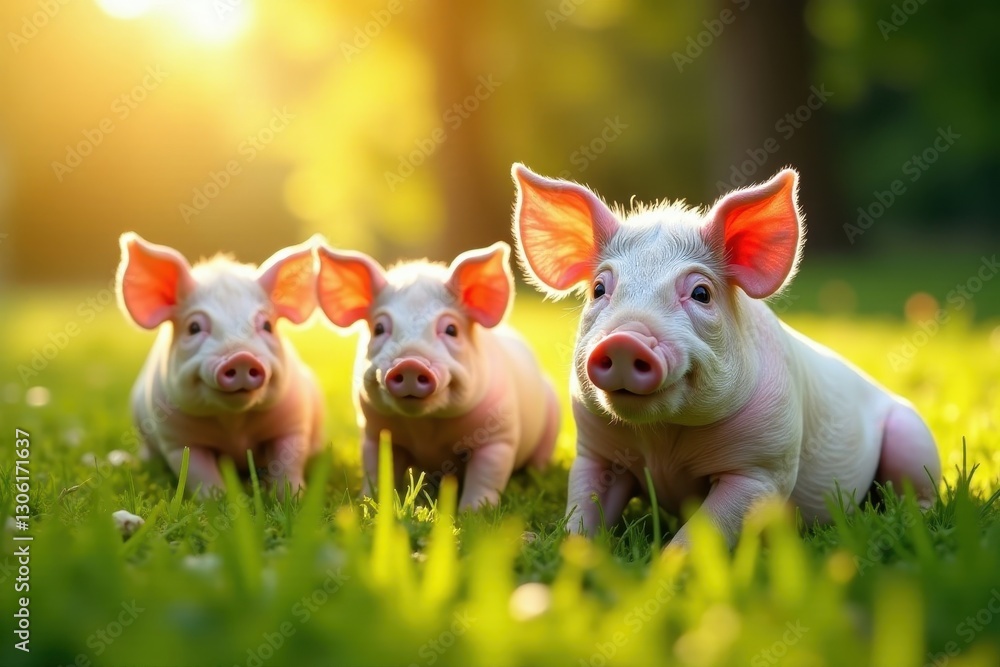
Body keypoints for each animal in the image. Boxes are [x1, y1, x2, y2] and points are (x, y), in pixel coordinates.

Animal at [115, 233, 324, 497]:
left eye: (267, 325)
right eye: (194, 327)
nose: (241, 357)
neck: (234, 425)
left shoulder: (293, 423)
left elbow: (288, 462)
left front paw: (292, 497)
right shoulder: (177, 440)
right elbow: (198, 472)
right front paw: (217, 500)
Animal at [314, 240, 560, 511]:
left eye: (451, 329)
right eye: (379, 328)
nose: (410, 363)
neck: (426, 429)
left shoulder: (499, 436)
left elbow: (485, 477)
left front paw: (474, 512)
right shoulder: (374, 432)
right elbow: (377, 470)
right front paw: (368, 504)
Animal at [511, 164, 941, 549]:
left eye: (701, 293)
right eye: (600, 289)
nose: (624, 340)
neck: (662, 440)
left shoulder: (763, 467)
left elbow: (708, 529)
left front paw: (670, 565)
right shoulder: (595, 451)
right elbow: (584, 508)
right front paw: (546, 544)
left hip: (913, 437)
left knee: (921, 490)